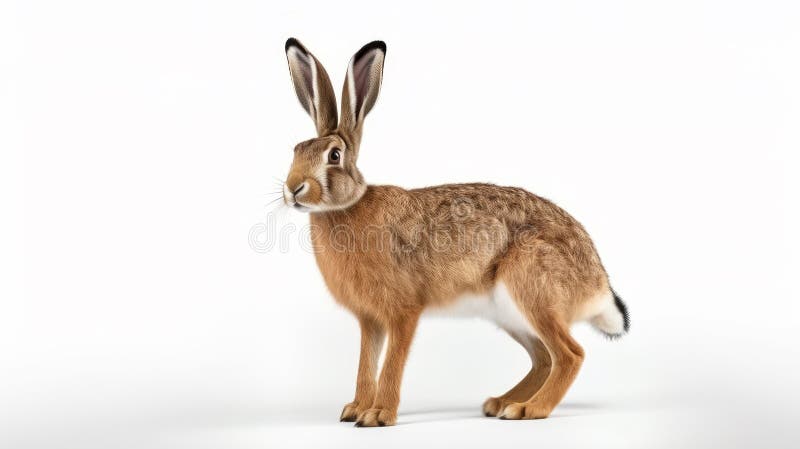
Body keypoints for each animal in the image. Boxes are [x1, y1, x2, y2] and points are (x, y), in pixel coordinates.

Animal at [281, 38, 630, 427]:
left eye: (334, 156)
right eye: (296, 150)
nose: (293, 188)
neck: (348, 205)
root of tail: (598, 285)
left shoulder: (403, 312)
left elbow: (391, 364)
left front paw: (379, 415)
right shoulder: (369, 320)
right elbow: (364, 364)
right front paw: (355, 408)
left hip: (532, 288)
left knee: (571, 355)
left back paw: (530, 409)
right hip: (511, 314)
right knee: (543, 358)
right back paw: (501, 403)